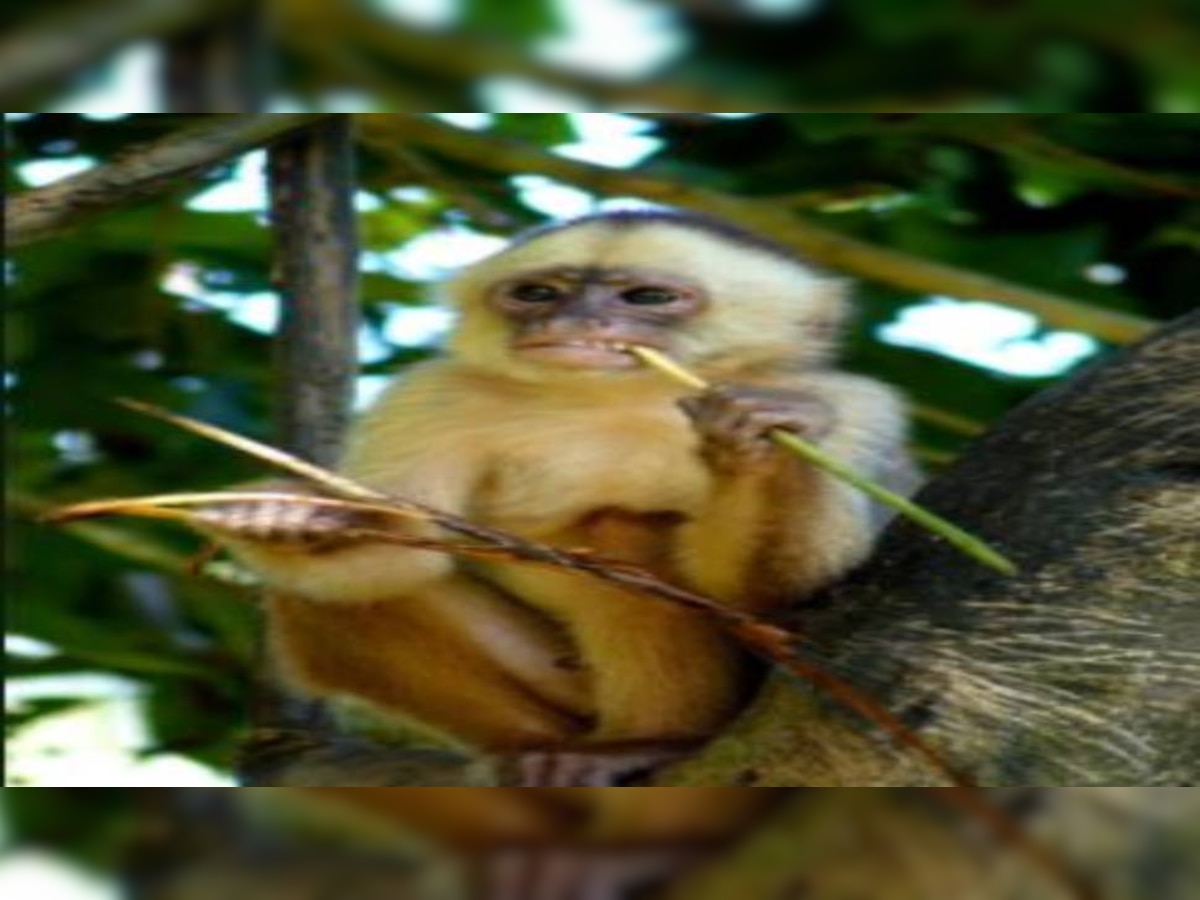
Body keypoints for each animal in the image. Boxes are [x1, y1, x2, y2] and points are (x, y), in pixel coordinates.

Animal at [197, 209, 910, 830]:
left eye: (648, 297)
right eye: (538, 293)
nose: (574, 318)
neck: (618, 398)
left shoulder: (849, 406)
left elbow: (784, 600)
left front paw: (759, 439)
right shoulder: (432, 396)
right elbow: (393, 550)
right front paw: (280, 515)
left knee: (624, 530)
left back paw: (661, 741)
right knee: (325, 599)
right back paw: (538, 756)